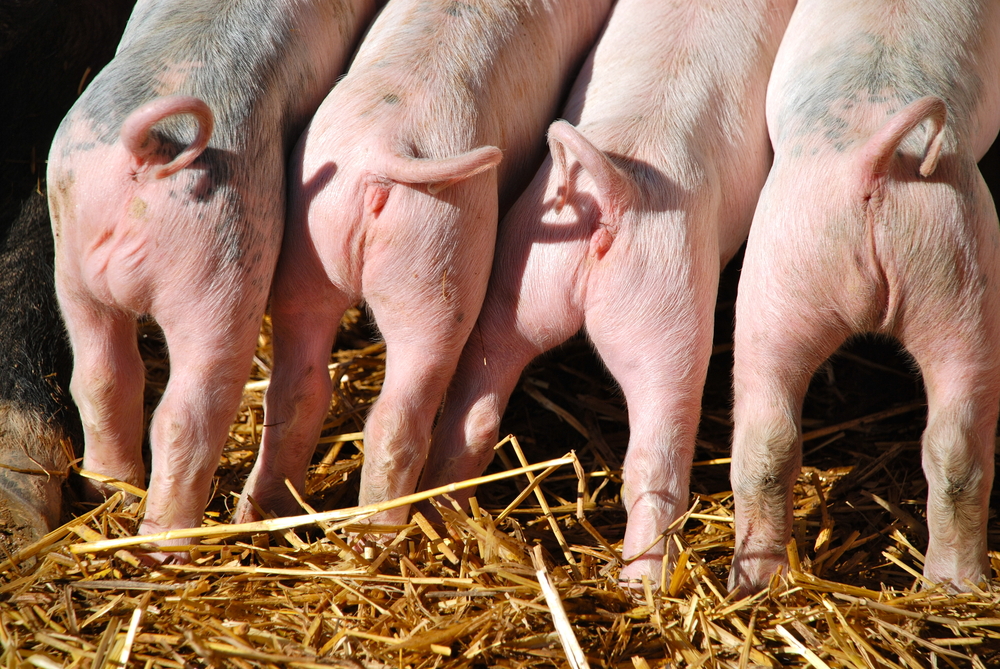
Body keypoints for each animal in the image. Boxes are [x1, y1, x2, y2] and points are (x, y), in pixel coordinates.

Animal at [47, 0, 377, 559]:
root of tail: (149, 151)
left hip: (72, 252)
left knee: (101, 377)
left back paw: (110, 497)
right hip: (226, 264)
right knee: (190, 412)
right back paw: (168, 547)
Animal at [235, 0, 614, 526]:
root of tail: (382, 151)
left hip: (313, 252)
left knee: (297, 389)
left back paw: (262, 512)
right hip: (444, 253)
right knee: (402, 416)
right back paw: (385, 530)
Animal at [412, 0, 795, 586]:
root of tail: (616, 193)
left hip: (520, 279)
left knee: (476, 410)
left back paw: (444, 516)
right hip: (672, 309)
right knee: (655, 461)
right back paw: (646, 585)